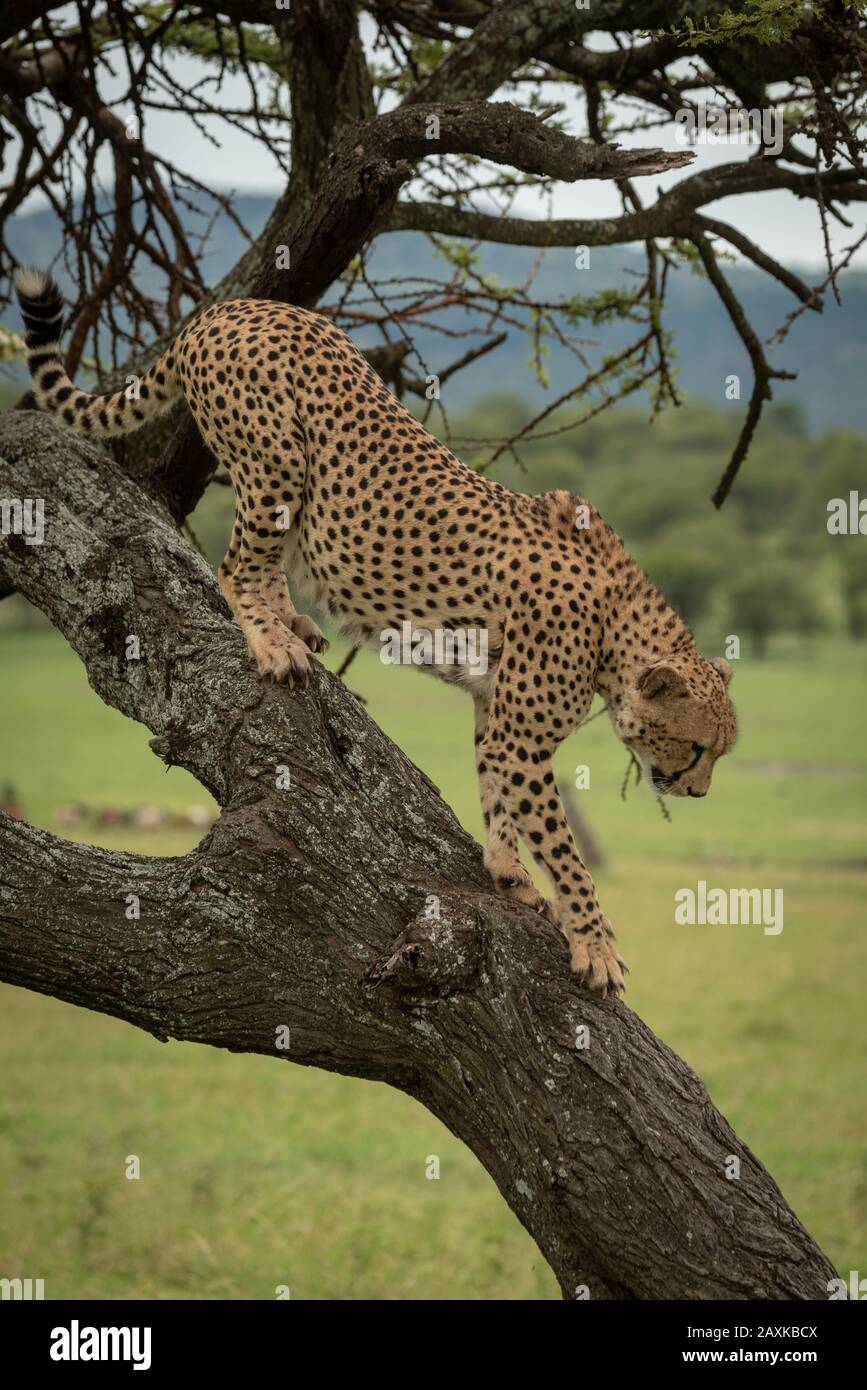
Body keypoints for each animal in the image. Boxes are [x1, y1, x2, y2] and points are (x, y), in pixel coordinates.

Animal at [15, 266, 737, 995]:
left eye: (716, 755)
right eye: (697, 748)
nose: (698, 791)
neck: (615, 634)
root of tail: (234, 307)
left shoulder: (496, 712)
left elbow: (496, 795)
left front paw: (508, 871)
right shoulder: (523, 736)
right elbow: (565, 853)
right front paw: (596, 946)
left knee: (266, 560)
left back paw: (289, 622)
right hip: (277, 460)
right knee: (236, 562)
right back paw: (269, 641)